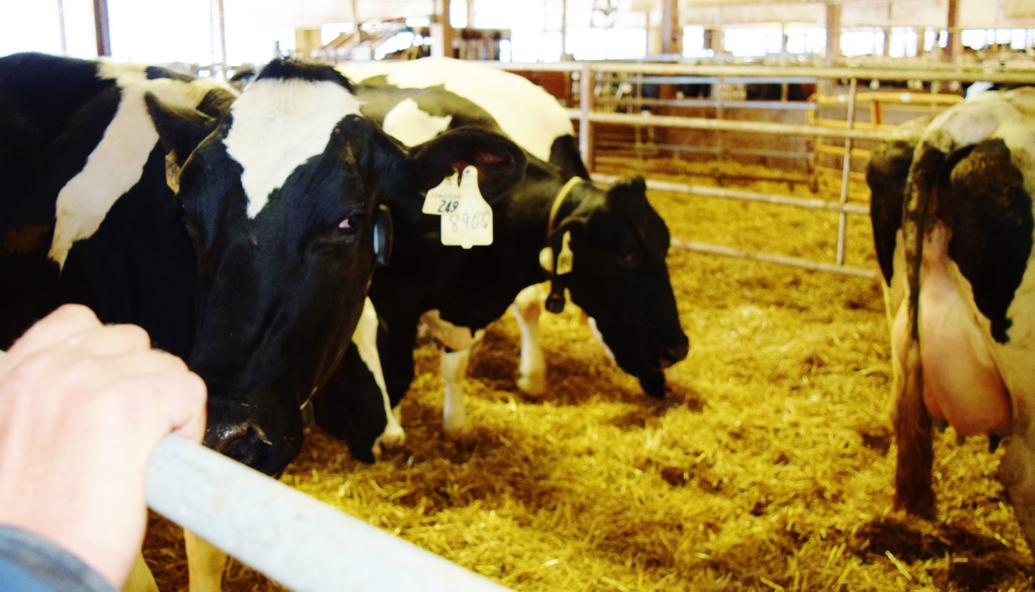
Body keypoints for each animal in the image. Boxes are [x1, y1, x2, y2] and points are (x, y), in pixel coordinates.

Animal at [312, 57, 689, 452]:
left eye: (664, 245)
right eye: (628, 253)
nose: (678, 349)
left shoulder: (464, 298)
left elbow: (456, 365)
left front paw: (457, 423)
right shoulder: (395, 296)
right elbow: (396, 367)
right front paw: (390, 428)